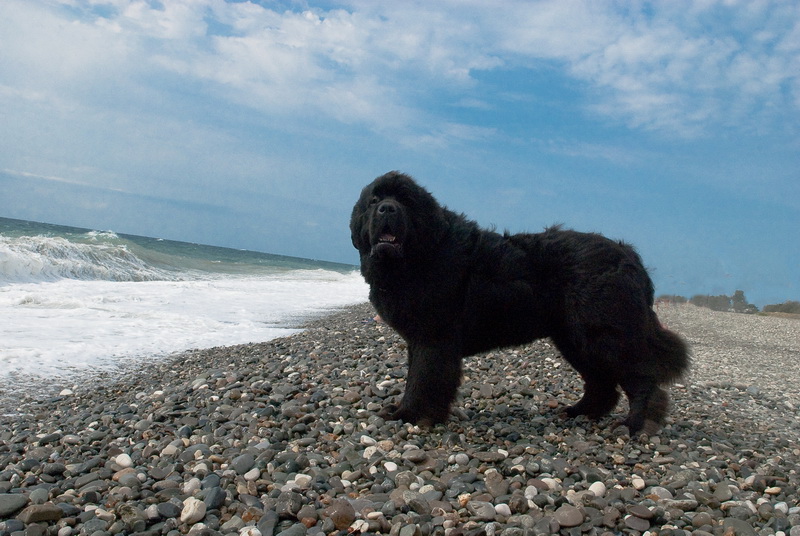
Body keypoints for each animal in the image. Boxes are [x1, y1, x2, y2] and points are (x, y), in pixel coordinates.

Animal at [350, 172, 688, 436]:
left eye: (406, 201)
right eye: (374, 200)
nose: (387, 209)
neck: (420, 255)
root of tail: (628, 256)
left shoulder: (433, 339)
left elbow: (422, 380)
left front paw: (408, 415)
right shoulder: (419, 339)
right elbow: (418, 378)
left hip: (606, 335)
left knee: (642, 377)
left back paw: (635, 424)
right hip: (576, 340)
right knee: (601, 383)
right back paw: (578, 412)